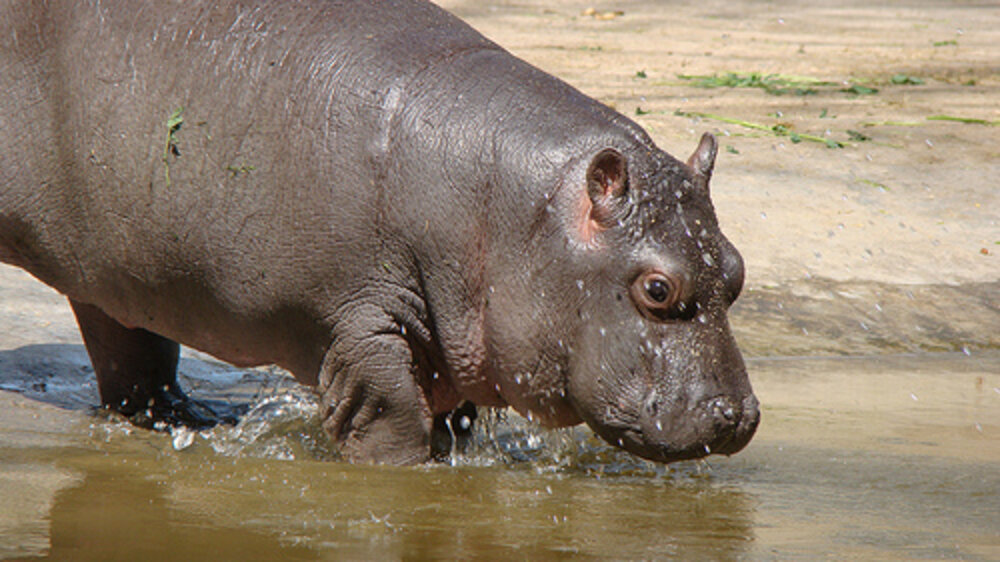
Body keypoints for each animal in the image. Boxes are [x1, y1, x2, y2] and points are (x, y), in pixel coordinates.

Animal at [0, 0, 759, 464]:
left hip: (119, 268)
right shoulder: (358, 326)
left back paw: (192, 420)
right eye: (657, 288)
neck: (511, 209)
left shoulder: (452, 343)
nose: (740, 415)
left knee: (128, 348)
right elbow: (390, 420)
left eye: (736, 267)